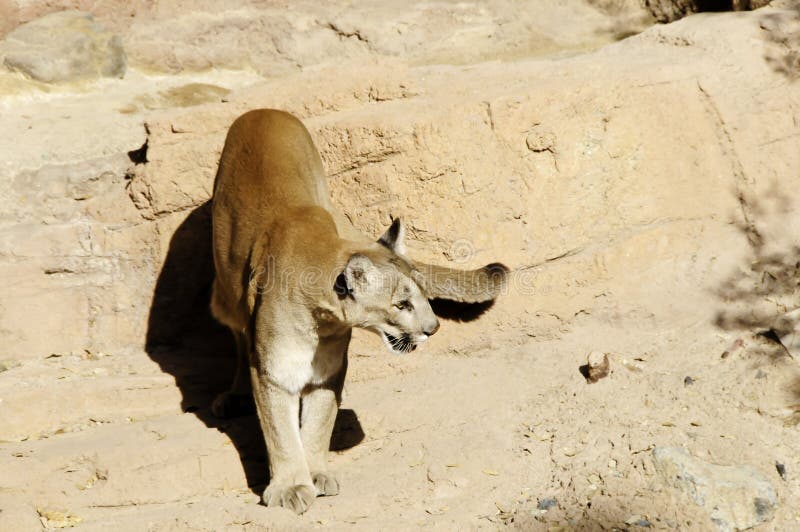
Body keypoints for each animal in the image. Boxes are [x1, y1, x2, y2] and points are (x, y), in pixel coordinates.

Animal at [210, 109, 507, 514]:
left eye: (422, 295)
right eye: (401, 304)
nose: (433, 328)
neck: (320, 323)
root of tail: (263, 111)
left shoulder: (329, 367)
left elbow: (319, 421)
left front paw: (316, 473)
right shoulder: (273, 370)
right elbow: (280, 430)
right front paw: (290, 487)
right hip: (224, 293)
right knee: (239, 335)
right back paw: (235, 394)